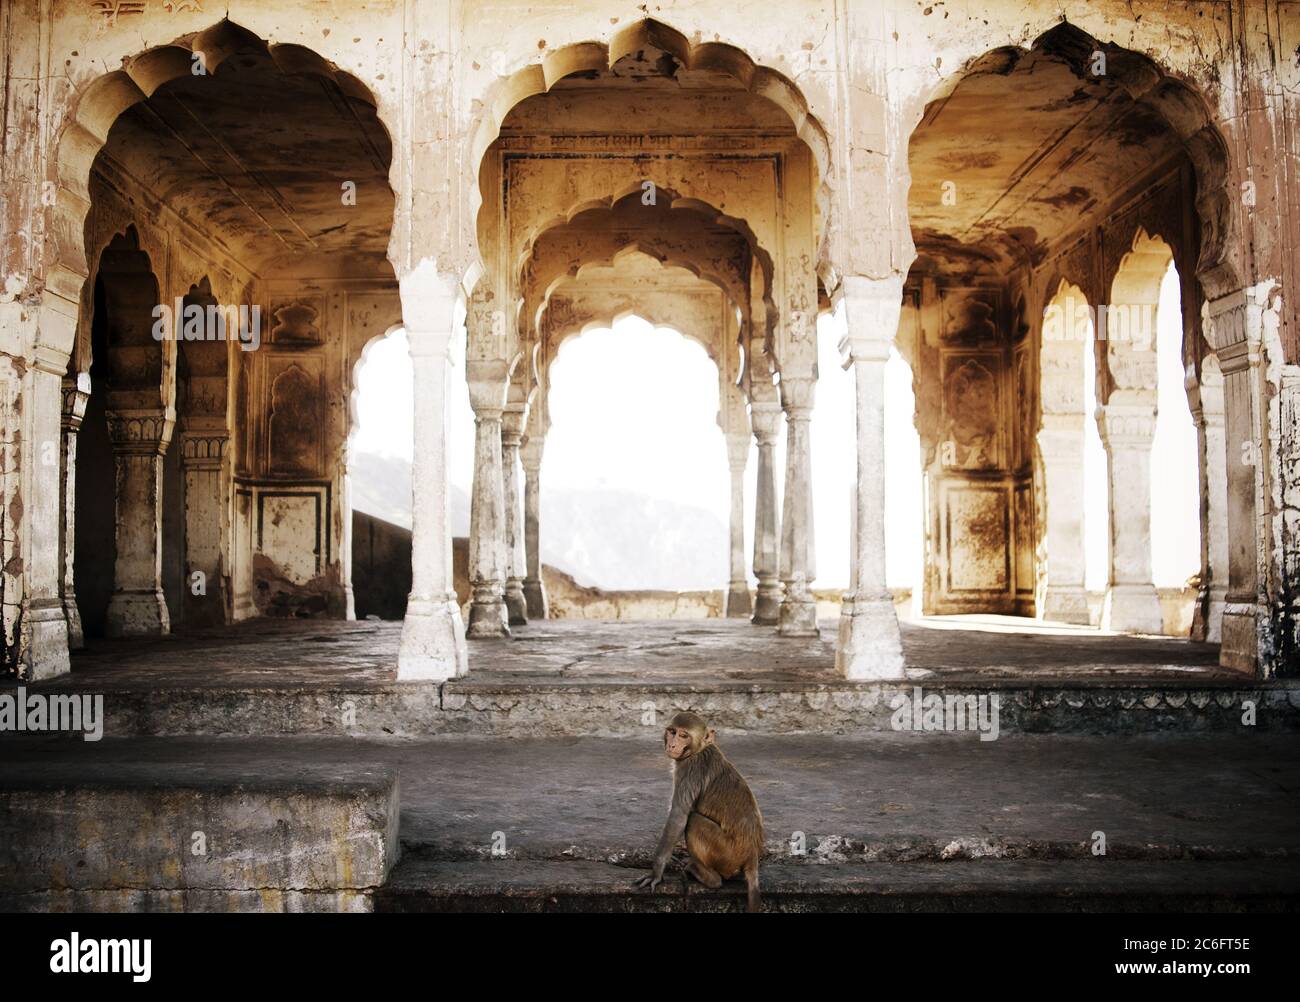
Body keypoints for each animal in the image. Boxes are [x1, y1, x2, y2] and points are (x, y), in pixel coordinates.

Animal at [635, 710, 764, 912]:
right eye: (672, 732)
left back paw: (707, 876)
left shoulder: (690, 769)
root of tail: (752, 854)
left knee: (694, 820)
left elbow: (679, 817)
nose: (672, 744)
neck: (700, 750)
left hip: (727, 853)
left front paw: (656, 873)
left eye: (684, 735)